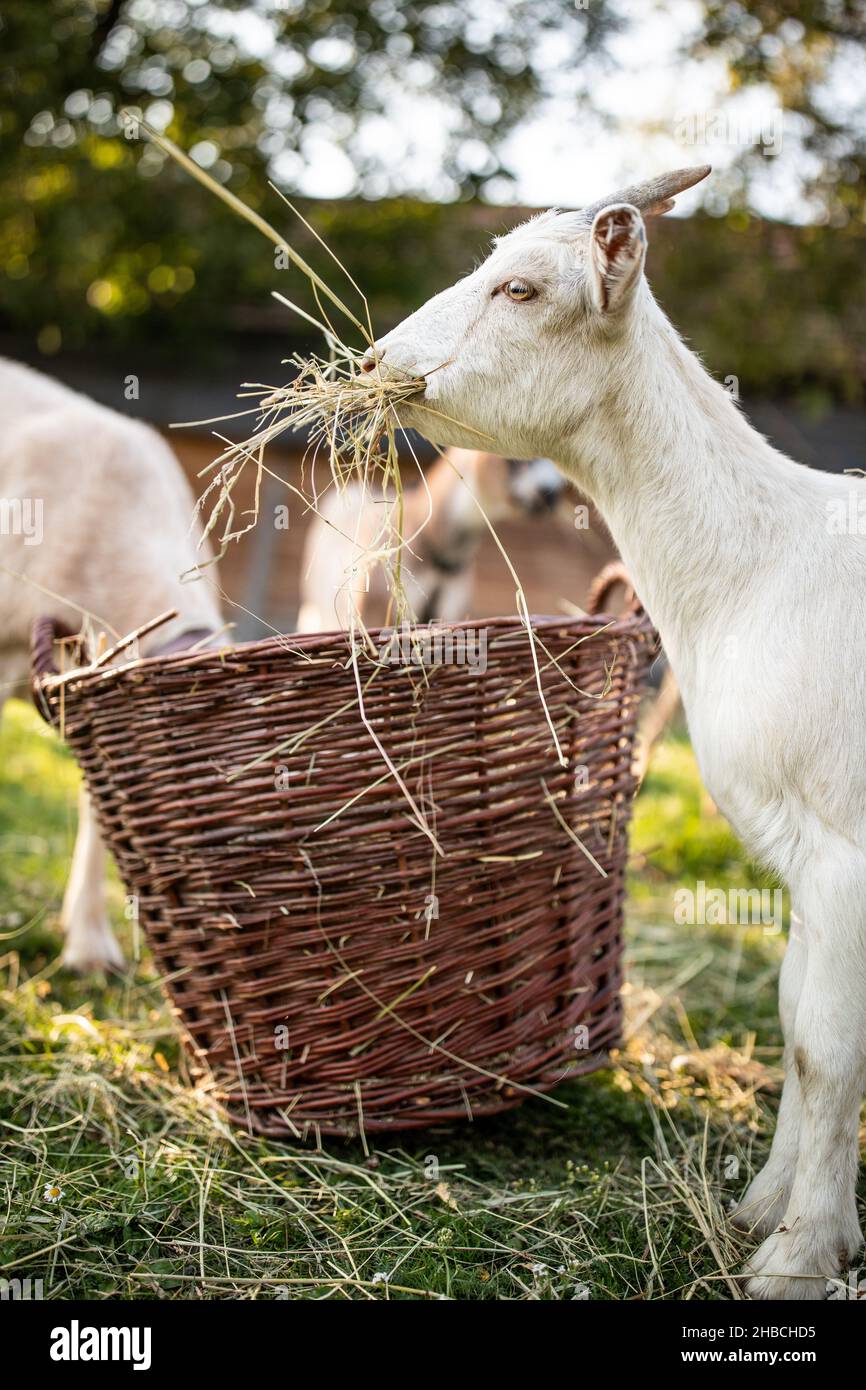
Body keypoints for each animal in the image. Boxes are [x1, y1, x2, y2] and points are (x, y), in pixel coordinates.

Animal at [359, 167, 866, 1300]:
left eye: (520, 289)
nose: (372, 362)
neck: (762, 560)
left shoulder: (849, 852)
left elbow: (827, 1046)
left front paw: (795, 1259)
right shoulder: (798, 855)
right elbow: (791, 1019)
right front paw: (768, 1209)